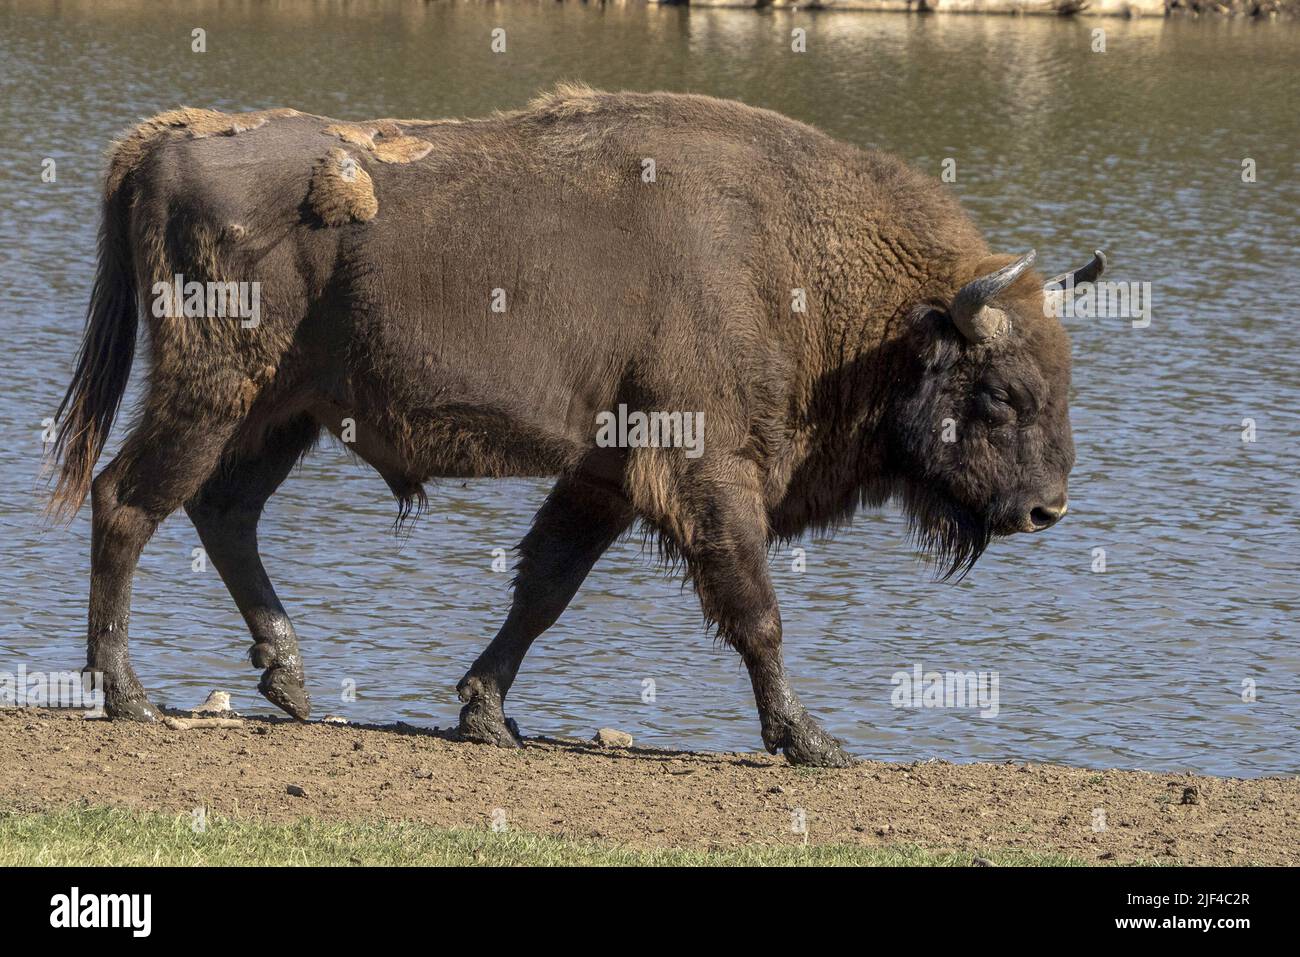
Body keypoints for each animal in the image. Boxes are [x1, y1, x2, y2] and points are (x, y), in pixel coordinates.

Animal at [51, 84, 1102, 766]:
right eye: (1000, 394)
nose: (1046, 508)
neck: (801, 265)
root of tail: (157, 144)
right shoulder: (707, 471)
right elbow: (755, 612)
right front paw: (812, 741)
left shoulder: (603, 475)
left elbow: (545, 588)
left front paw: (484, 713)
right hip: (213, 393)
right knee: (127, 500)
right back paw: (127, 694)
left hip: (281, 414)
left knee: (222, 512)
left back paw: (288, 681)